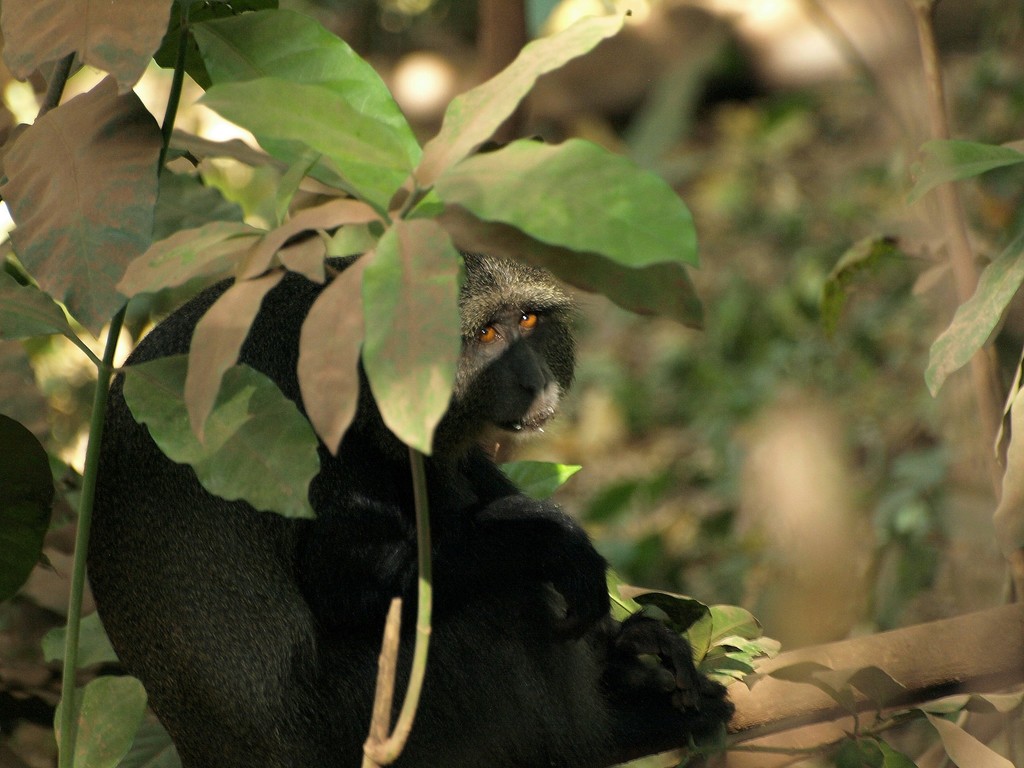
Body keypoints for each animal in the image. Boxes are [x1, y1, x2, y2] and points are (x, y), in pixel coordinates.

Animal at [87, 253, 733, 768]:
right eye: (485, 335)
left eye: (526, 321)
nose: (534, 381)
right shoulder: (319, 445)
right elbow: (358, 587)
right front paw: (557, 546)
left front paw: (629, 639)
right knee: (505, 599)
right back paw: (608, 735)